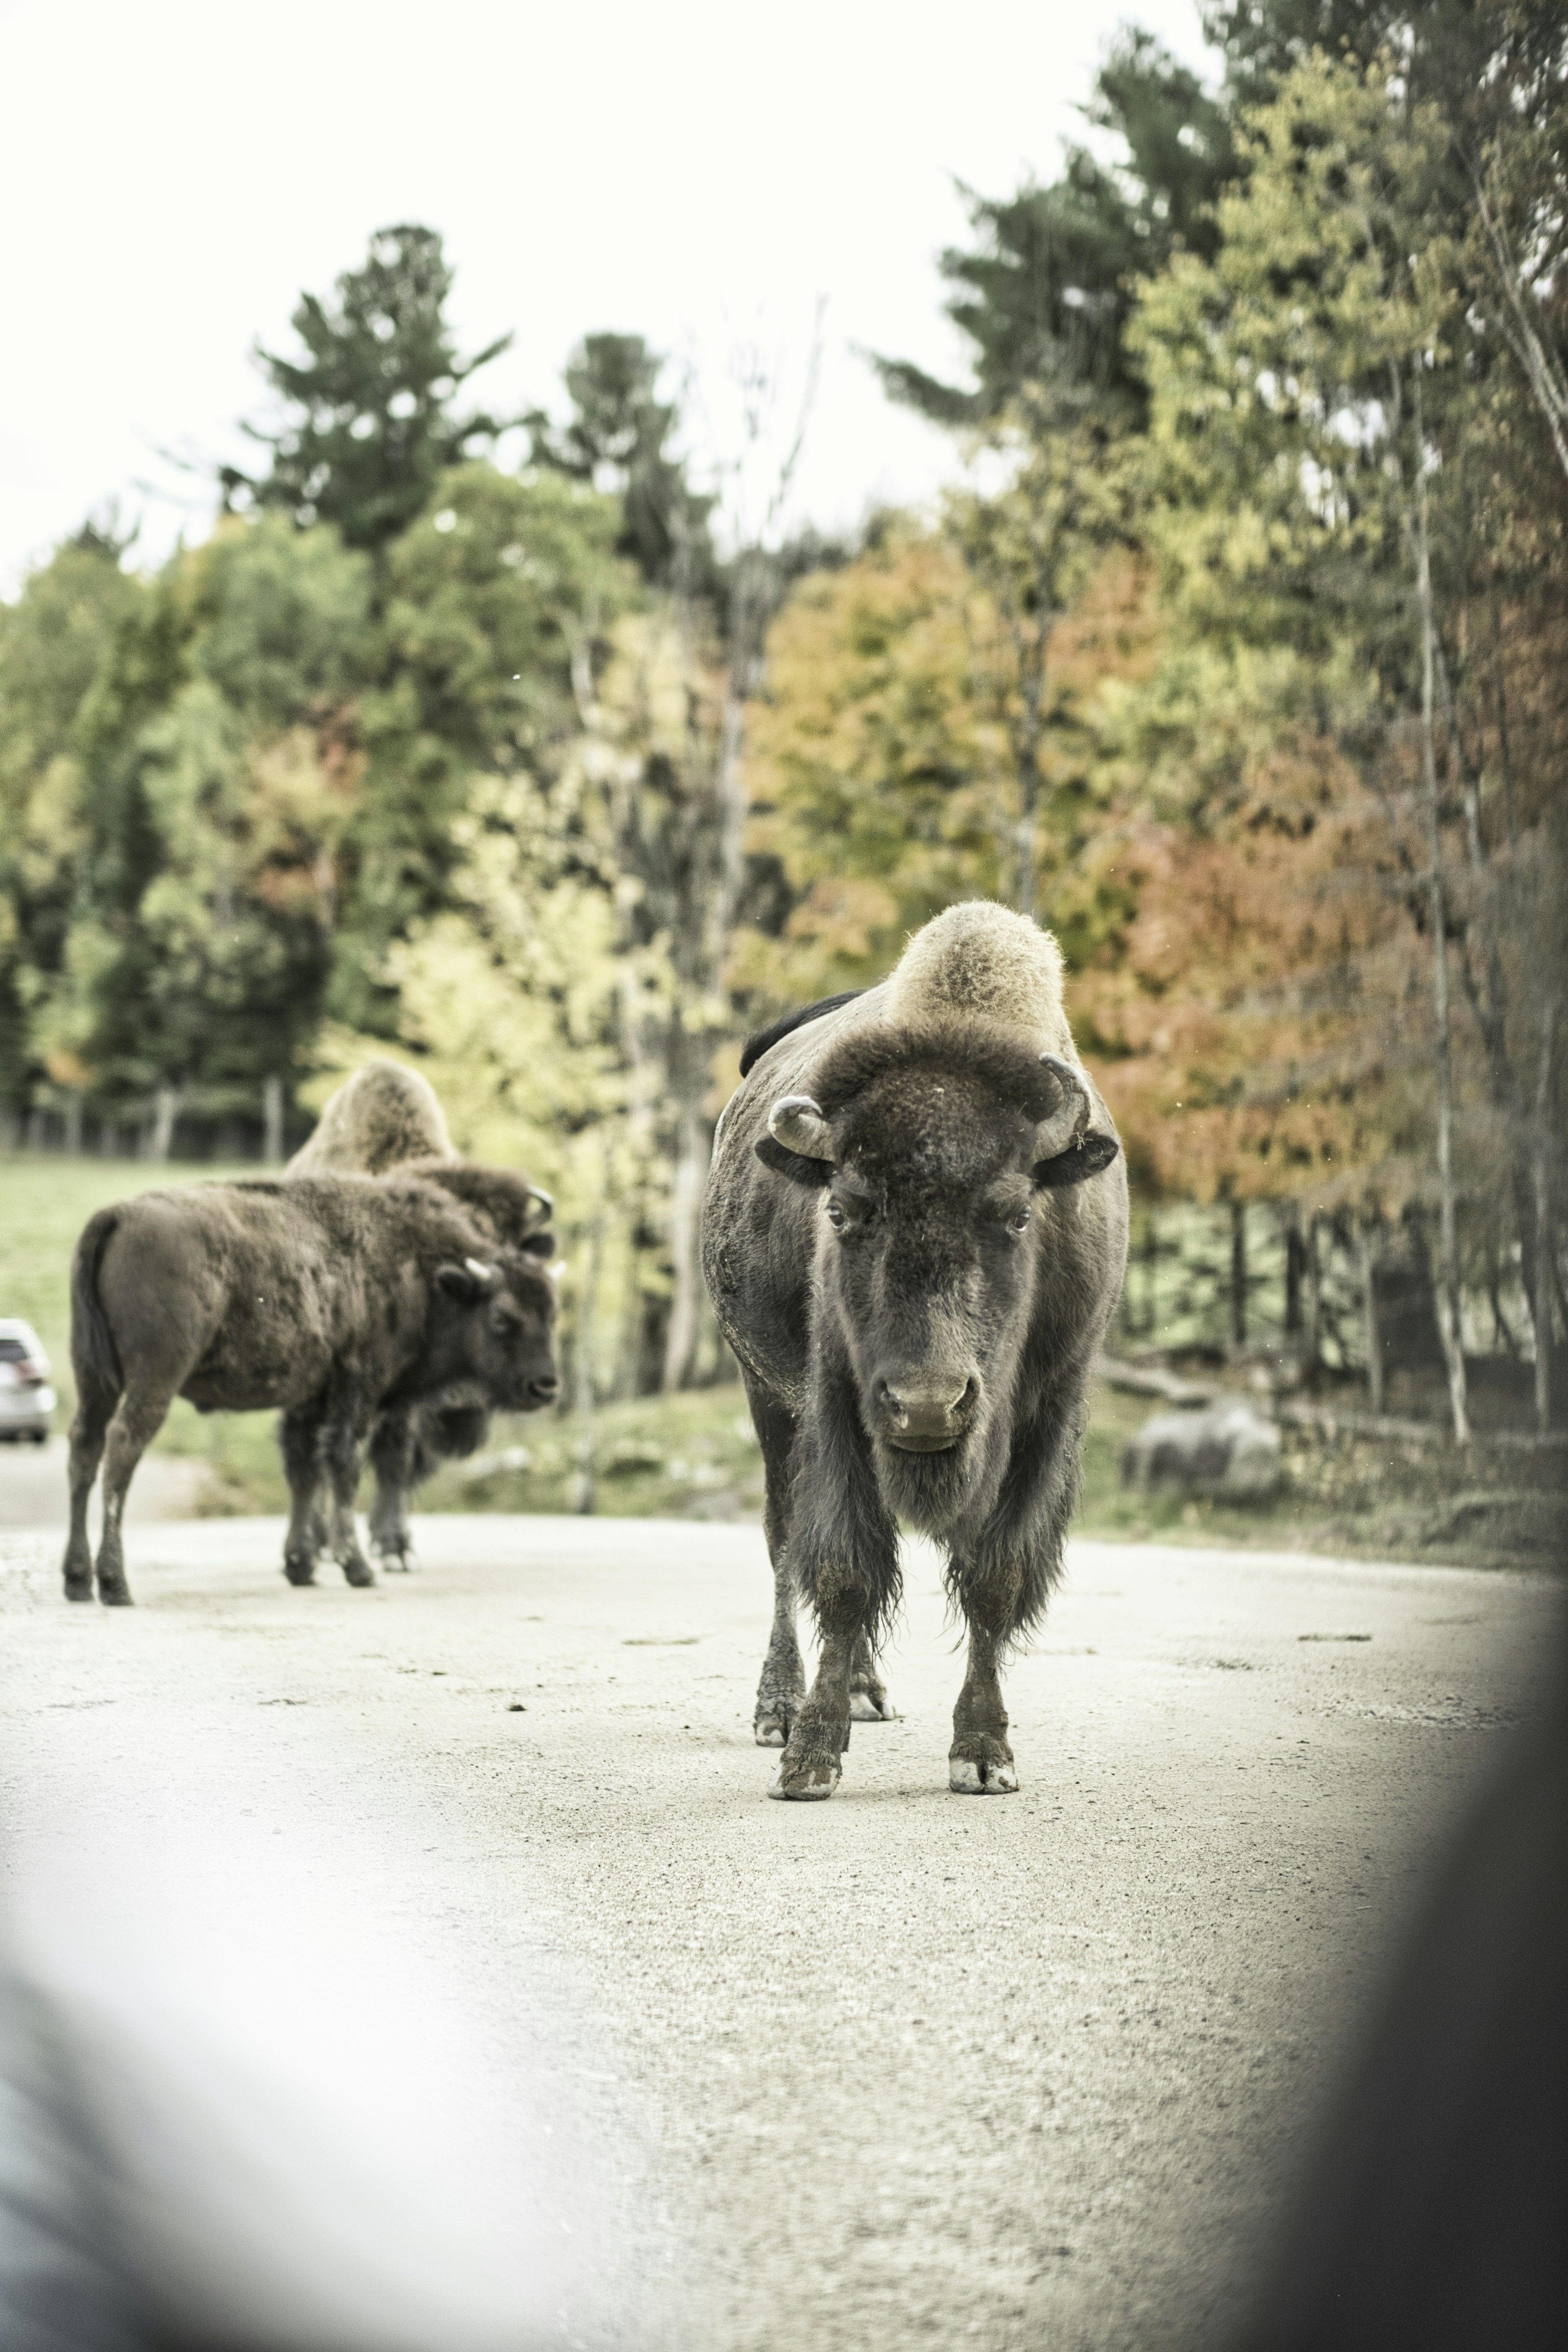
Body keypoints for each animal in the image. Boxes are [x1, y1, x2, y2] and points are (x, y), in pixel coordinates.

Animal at [61, 1173, 558, 1606]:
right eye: (502, 1318)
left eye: (553, 1312)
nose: (546, 1386)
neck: (422, 1271)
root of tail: (117, 1215)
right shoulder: (359, 1387)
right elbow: (343, 1466)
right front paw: (357, 1568)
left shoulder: (310, 1400)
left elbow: (304, 1470)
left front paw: (301, 1565)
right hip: (154, 1380)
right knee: (122, 1450)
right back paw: (116, 1584)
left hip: (93, 1380)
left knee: (84, 1449)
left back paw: (78, 1581)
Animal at [701, 901, 1128, 1799]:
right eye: (842, 1211)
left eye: (1017, 1213)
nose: (927, 1402)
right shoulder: (834, 1403)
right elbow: (842, 1571)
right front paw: (808, 1757)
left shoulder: (1048, 1412)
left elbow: (995, 1579)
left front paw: (984, 1753)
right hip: (765, 1397)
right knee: (784, 1542)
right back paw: (779, 1706)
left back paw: (868, 1693)